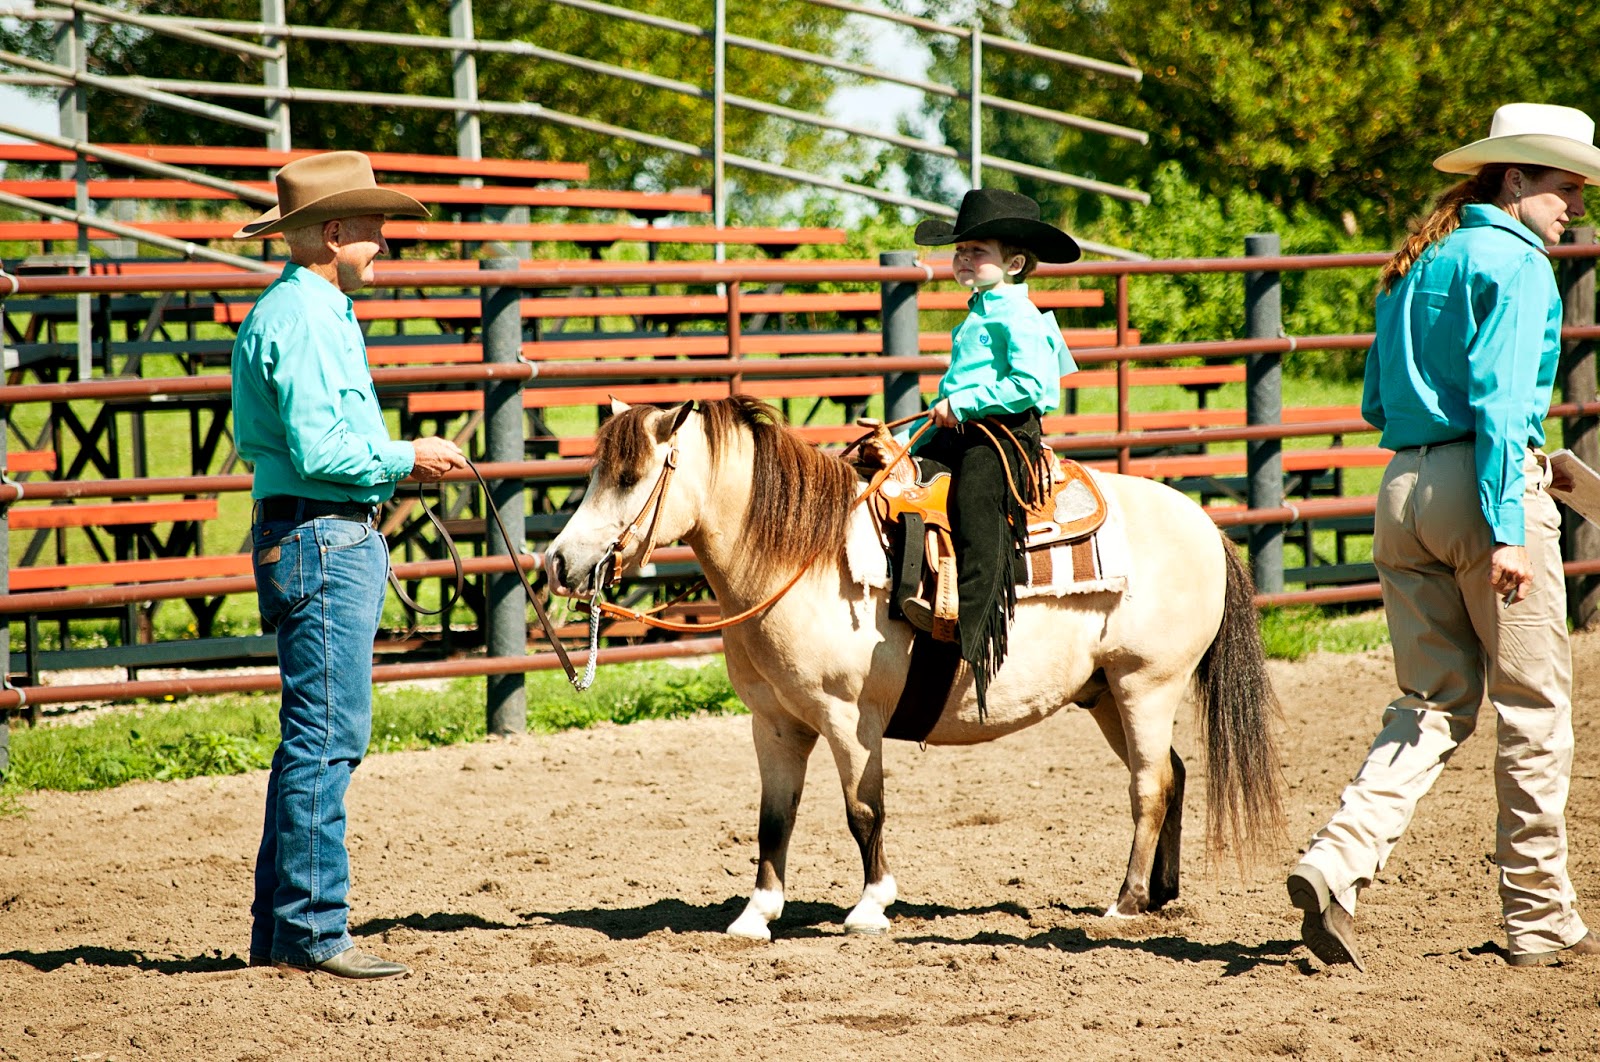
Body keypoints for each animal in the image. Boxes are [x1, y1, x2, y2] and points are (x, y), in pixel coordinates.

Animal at [546, 396, 1283, 940]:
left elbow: (862, 810)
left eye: (630, 477)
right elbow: (773, 819)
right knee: (1173, 775)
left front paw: (871, 906)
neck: (801, 558)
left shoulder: (850, 719)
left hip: (1145, 685)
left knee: (1150, 786)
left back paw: (1124, 903)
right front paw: (756, 915)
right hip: (1105, 695)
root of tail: (1206, 525)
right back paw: (1160, 895)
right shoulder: (775, 724)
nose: (555, 562)